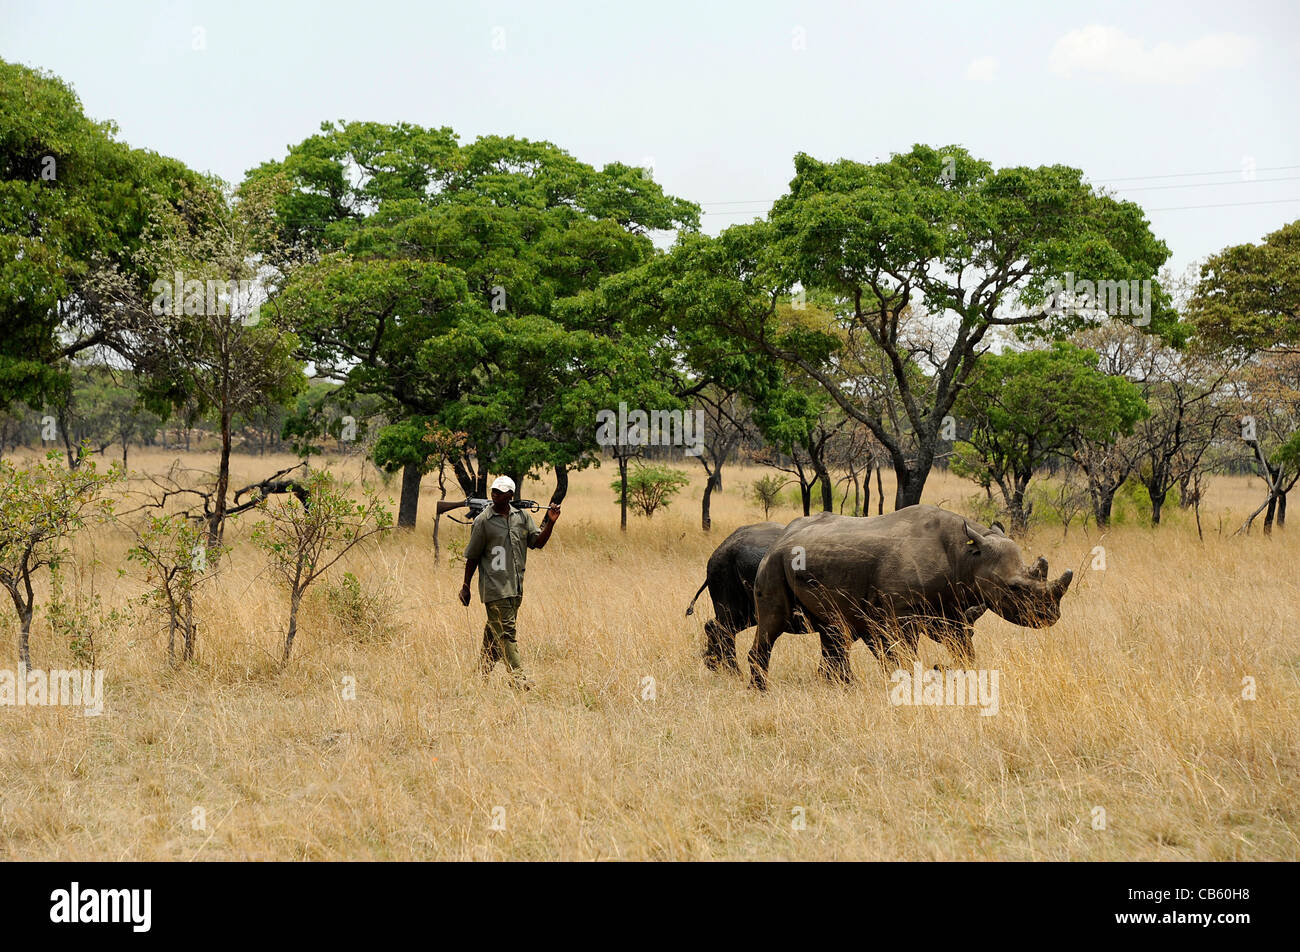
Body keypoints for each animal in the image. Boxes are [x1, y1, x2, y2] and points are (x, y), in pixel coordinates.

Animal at [747, 505, 1072, 690]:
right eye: (1015, 588)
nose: (1051, 617)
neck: (968, 555)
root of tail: (780, 538)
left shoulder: (951, 608)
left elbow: (964, 650)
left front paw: (957, 673)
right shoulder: (900, 611)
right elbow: (903, 653)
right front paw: (911, 685)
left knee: (834, 632)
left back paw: (843, 688)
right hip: (773, 564)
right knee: (773, 624)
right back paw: (760, 690)